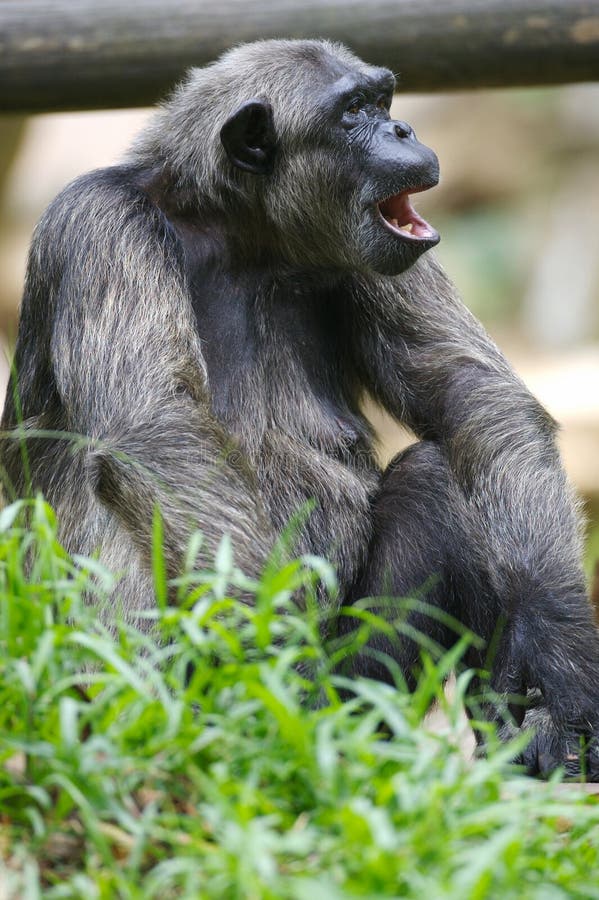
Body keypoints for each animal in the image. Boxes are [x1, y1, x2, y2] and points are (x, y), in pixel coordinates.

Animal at [2, 38, 599, 778]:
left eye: (382, 99)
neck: (241, 233)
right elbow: (159, 430)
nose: (403, 129)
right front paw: (255, 680)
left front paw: (555, 650)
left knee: (437, 476)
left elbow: (470, 391)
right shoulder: (99, 227)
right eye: (353, 113)